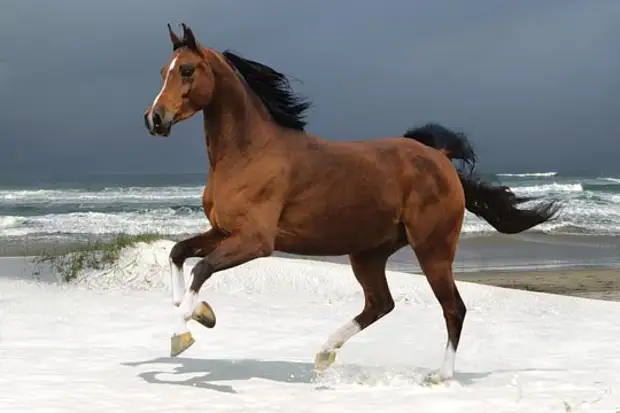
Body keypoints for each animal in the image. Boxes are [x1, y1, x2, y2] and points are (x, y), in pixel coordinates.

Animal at [143, 23, 560, 384]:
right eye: (163, 70)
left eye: (187, 70)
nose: (154, 119)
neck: (249, 152)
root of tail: (440, 158)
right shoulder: (223, 231)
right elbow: (179, 253)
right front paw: (199, 312)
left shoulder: (256, 241)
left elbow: (202, 268)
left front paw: (183, 332)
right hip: (368, 253)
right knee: (381, 304)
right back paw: (324, 354)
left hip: (433, 250)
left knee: (453, 308)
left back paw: (440, 376)